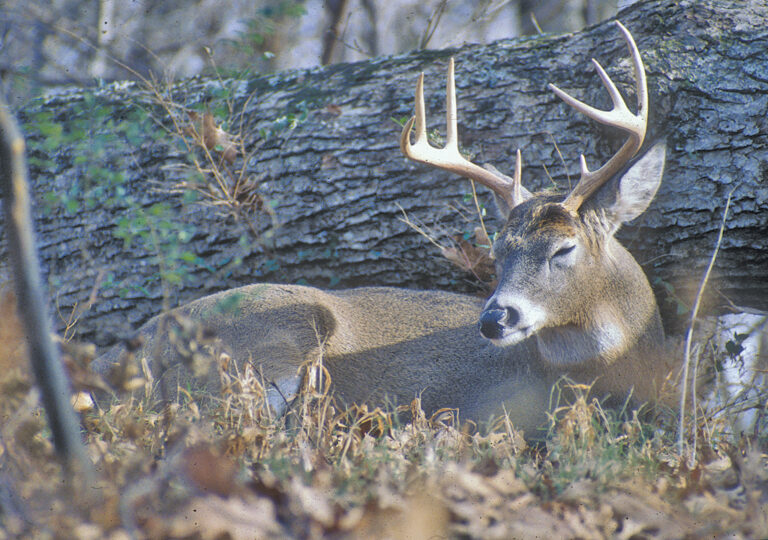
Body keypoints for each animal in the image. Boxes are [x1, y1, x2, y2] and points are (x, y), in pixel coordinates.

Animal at [92, 22, 669, 437]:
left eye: (563, 248)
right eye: (499, 251)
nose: (493, 319)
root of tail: (126, 359)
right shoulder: (485, 411)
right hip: (277, 337)